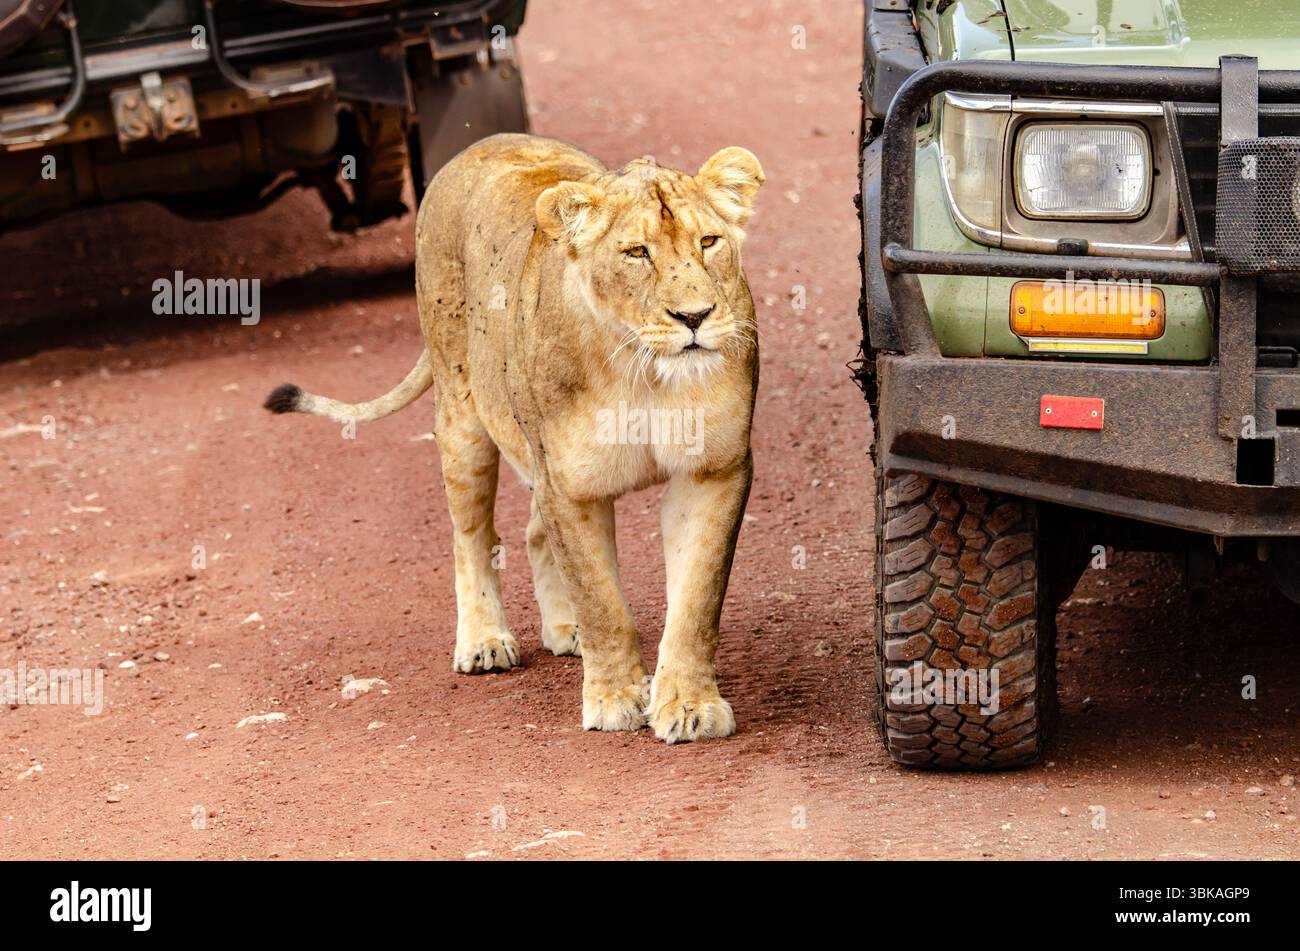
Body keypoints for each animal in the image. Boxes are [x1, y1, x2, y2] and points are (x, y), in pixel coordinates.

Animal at [264, 133, 763, 743]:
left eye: (709, 242)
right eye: (636, 254)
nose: (695, 316)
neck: (645, 371)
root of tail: (481, 144)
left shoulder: (713, 471)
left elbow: (696, 601)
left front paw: (689, 705)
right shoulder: (569, 486)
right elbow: (602, 601)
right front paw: (615, 698)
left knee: (533, 532)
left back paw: (566, 629)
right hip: (465, 423)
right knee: (473, 535)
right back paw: (483, 641)